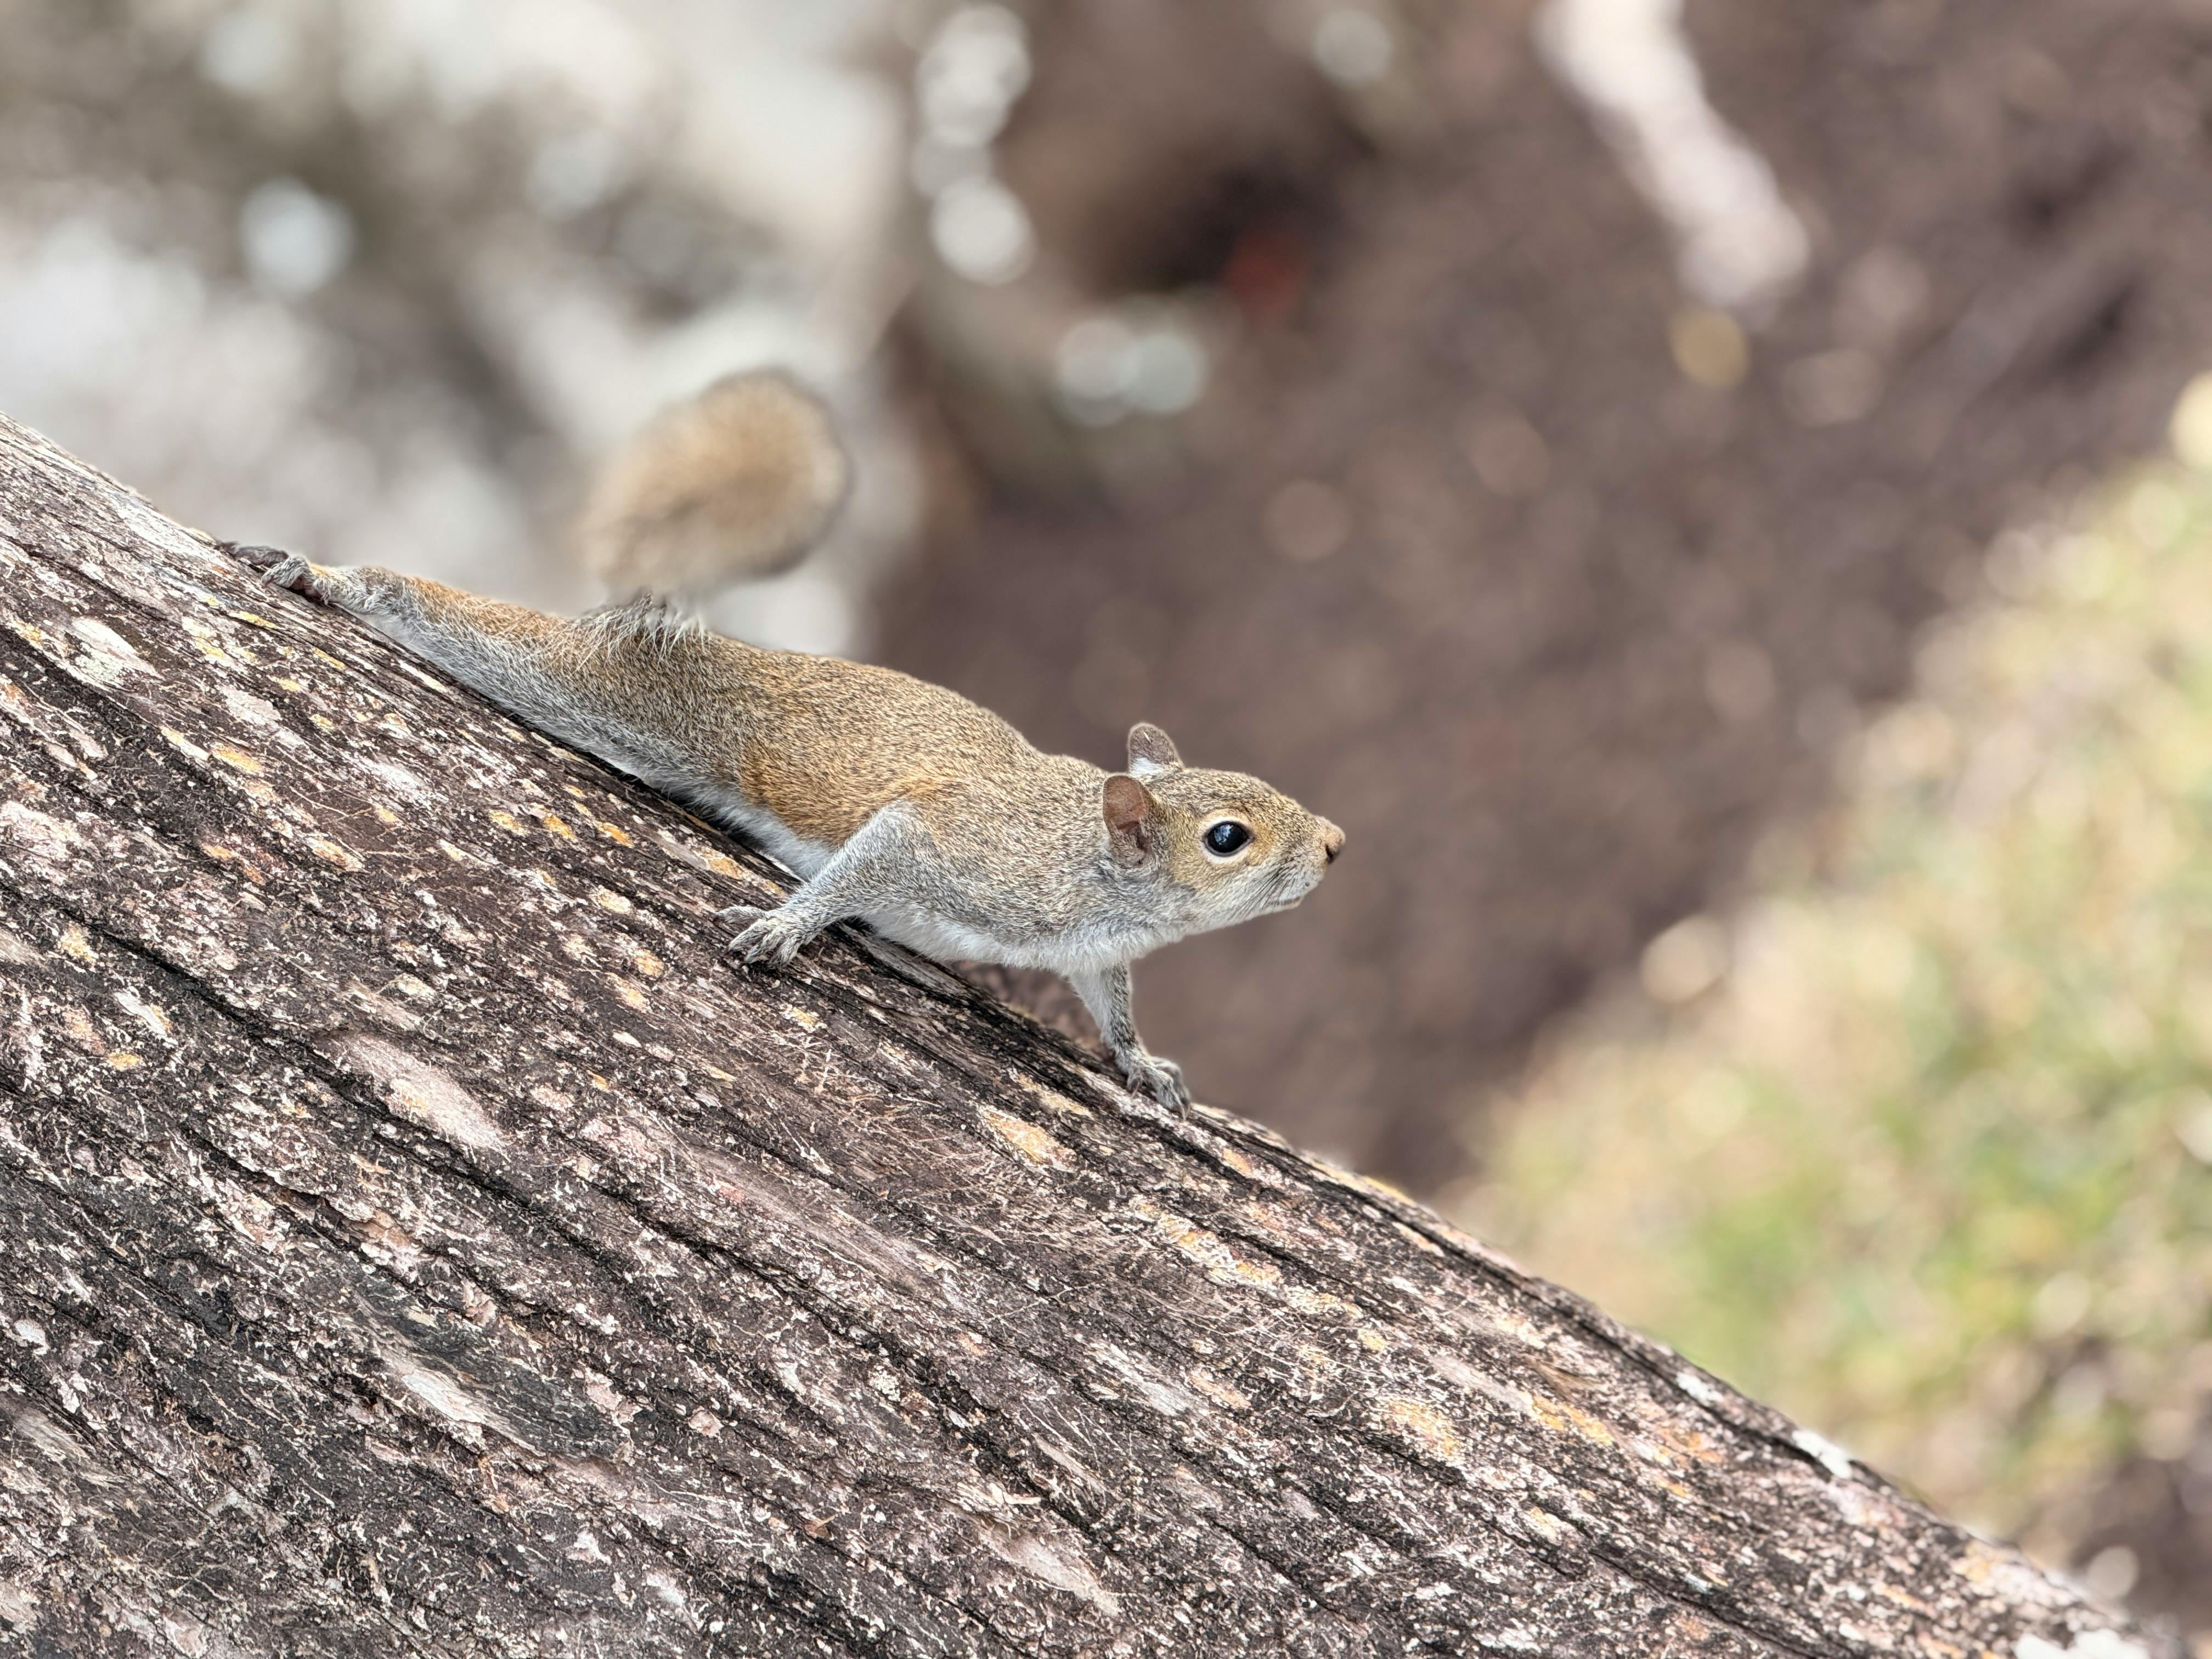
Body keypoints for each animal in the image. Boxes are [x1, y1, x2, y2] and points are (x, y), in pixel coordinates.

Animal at [236, 370, 1344, 1111]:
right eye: (1229, 836)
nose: (1336, 844)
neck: (1097, 874)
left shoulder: (1094, 952)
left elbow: (1110, 1005)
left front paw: (1138, 1058)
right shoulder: (962, 851)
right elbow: (875, 853)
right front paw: (789, 925)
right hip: (617, 696)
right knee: (456, 620)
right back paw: (325, 576)